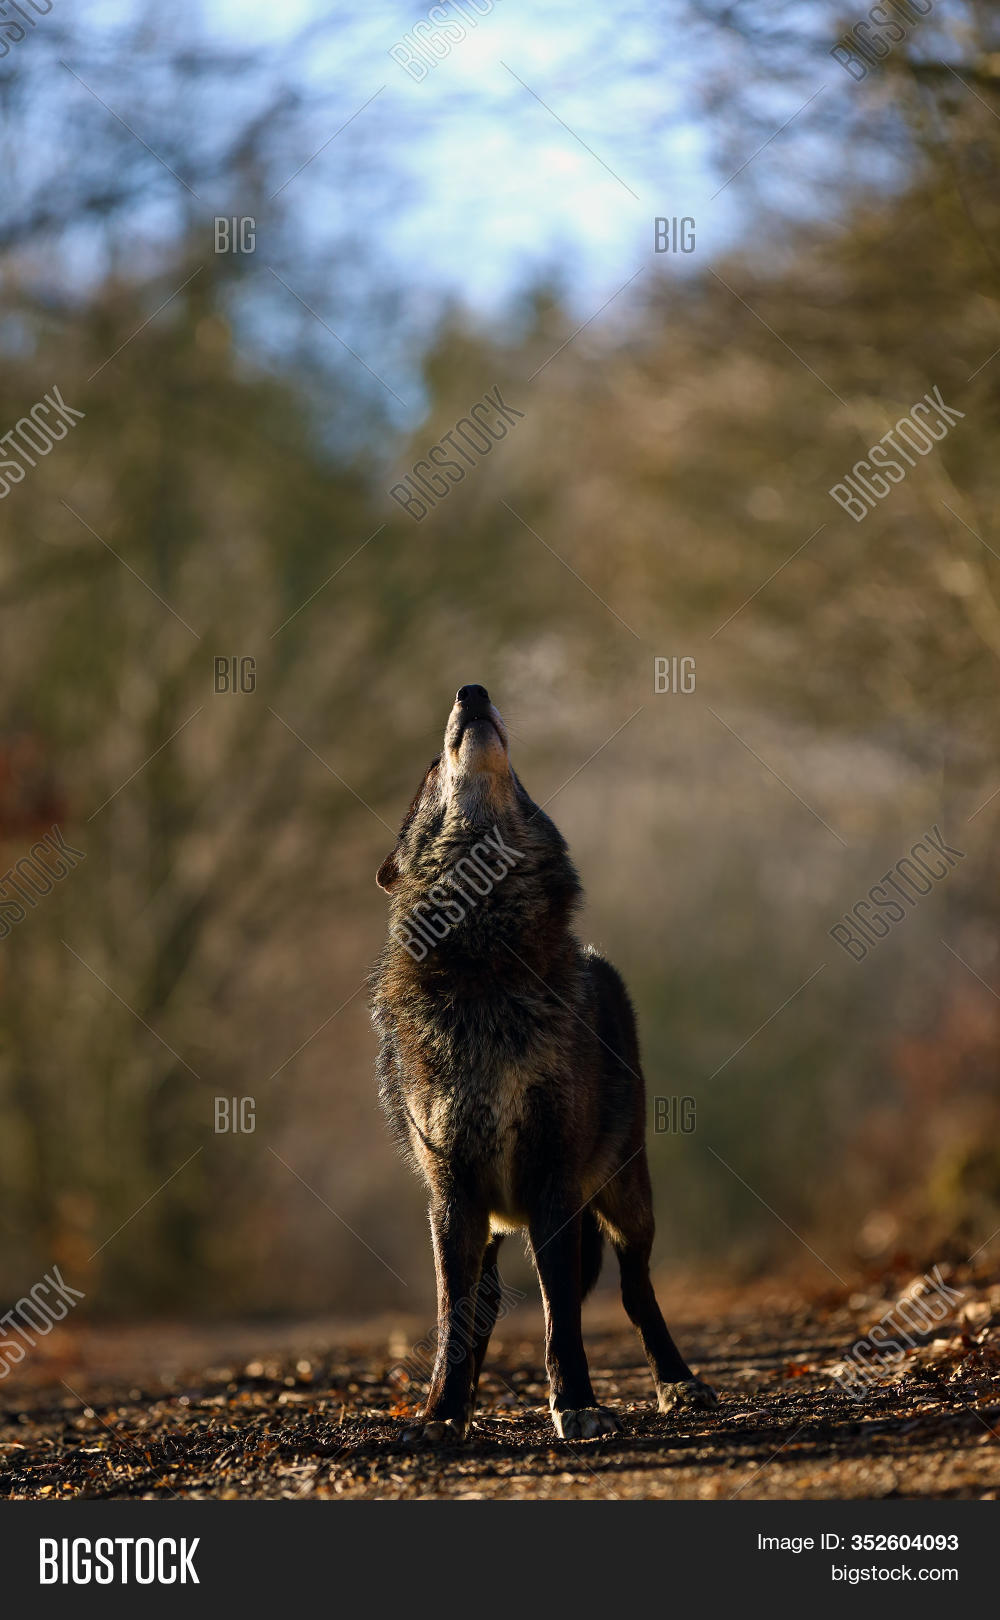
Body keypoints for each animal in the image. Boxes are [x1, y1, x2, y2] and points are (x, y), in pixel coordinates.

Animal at [371, 684, 716, 1442]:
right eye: (432, 771)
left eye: (521, 779)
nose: (472, 692)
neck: (487, 965)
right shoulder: (451, 1197)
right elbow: (453, 1318)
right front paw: (441, 1413)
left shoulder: (555, 1181)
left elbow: (562, 1313)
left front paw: (577, 1402)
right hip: (499, 1220)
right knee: (485, 1305)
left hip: (626, 1194)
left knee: (636, 1290)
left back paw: (678, 1383)